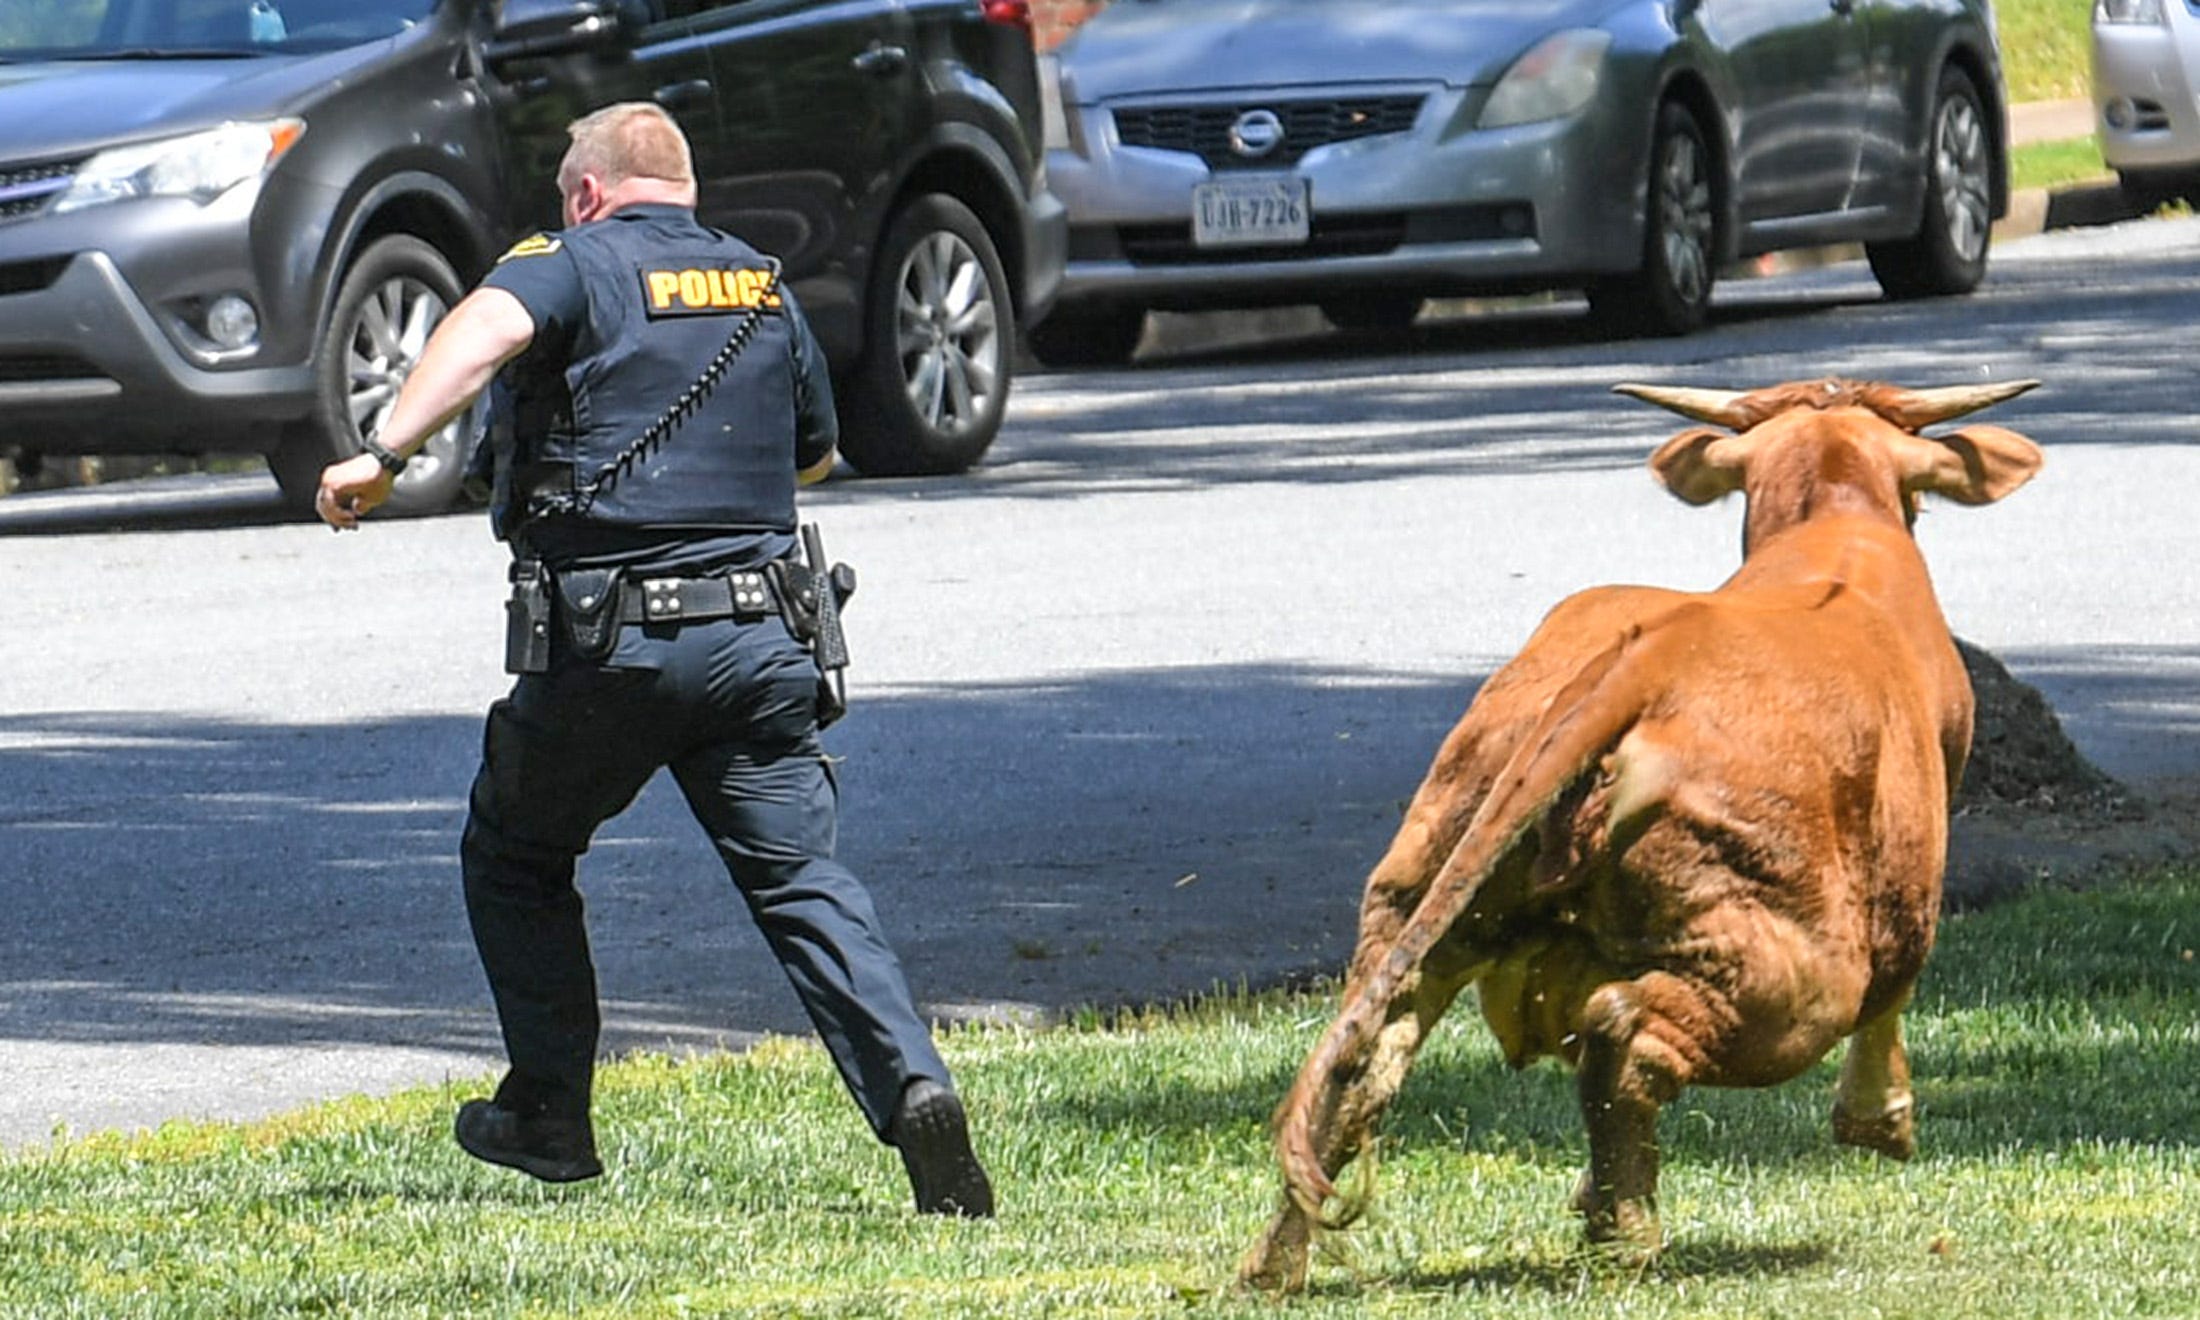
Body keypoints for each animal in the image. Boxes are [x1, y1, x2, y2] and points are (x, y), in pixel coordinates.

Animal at [1239, 377, 2045, 1294]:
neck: (1832, 529)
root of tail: (1637, 666)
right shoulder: (1913, 870)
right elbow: (1898, 990)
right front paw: (1882, 1119)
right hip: (1796, 967)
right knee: (1626, 1030)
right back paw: (1627, 1234)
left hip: (1421, 891)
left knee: (1368, 1062)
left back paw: (1277, 1261)